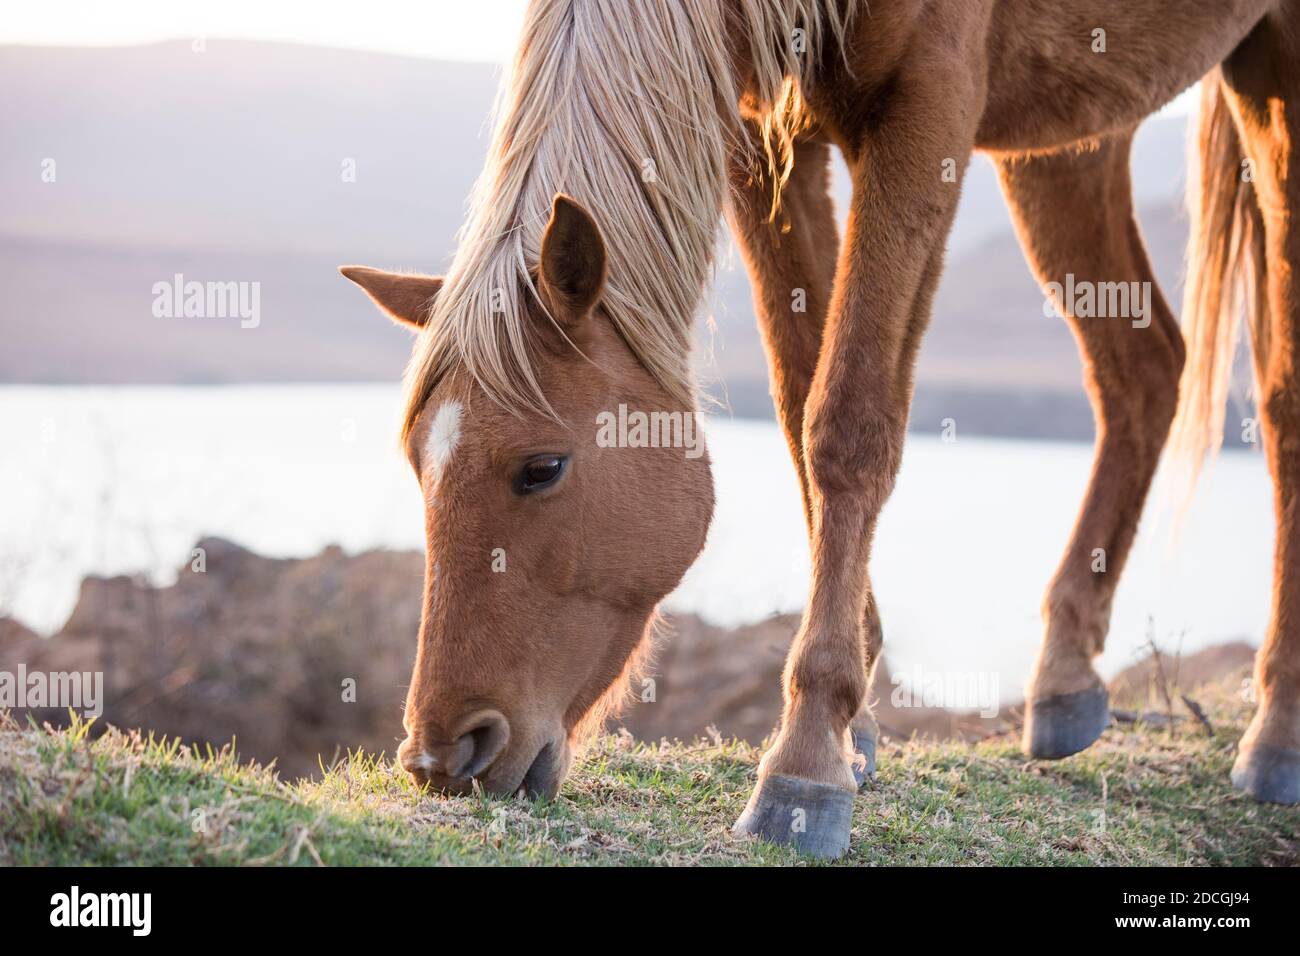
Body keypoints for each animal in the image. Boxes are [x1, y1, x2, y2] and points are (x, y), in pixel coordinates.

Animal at [341, 0, 1300, 858]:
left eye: (542, 468)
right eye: (420, 467)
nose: (443, 758)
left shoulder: (928, 104)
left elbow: (847, 422)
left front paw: (804, 764)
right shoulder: (762, 134)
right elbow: (801, 401)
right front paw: (855, 725)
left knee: (1278, 398)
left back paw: (1276, 728)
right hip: (1074, 127)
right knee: (1142, 370)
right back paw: (1065, 676)